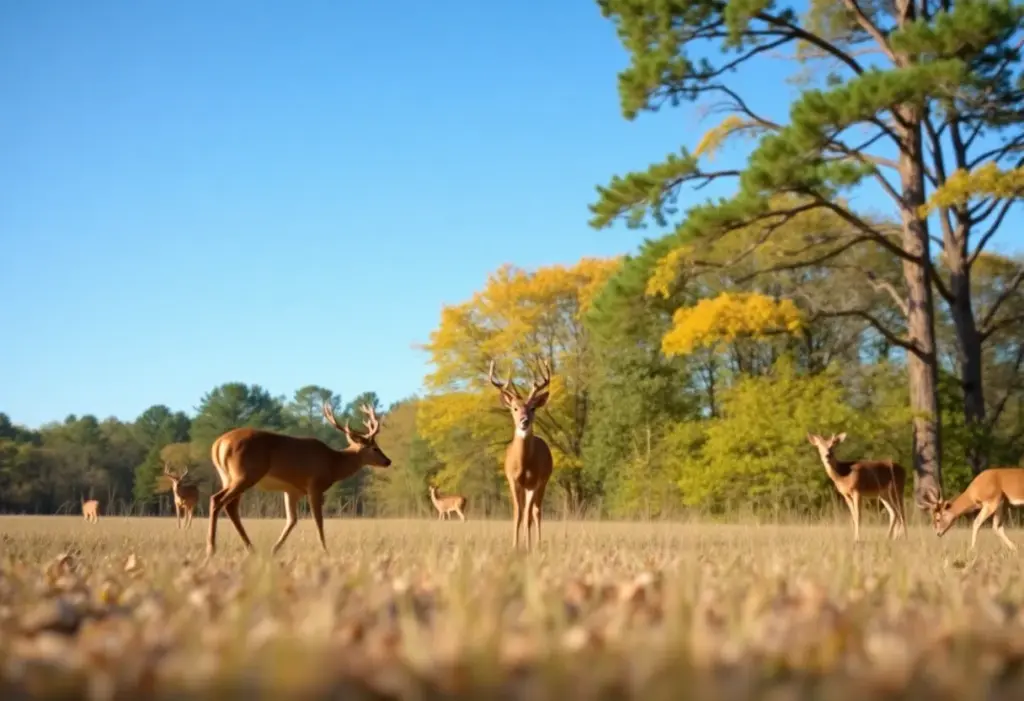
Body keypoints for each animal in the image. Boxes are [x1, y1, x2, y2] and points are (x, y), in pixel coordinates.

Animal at [205, 402, 391, 558]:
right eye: (374, 448)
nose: (388, 461)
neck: (333, 463)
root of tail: (218, 444)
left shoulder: (292, 491)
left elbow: (292, 520)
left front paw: (274, 549)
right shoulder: (315, 485)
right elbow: (318, 520)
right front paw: (325, 550)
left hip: (228, 476)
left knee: (229, 506)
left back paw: (250, 548)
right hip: (246, 474)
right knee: (218, 499)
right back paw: (212, 548)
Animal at [488, 358, 554, 551]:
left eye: (533, 408)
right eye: (515, 408)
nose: (524, 421)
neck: (524, 465)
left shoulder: (535, 482)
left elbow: (528, 516)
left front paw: (528, 546)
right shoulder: (513, 479)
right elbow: (518, 514)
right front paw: (515, 546)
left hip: (544, 481)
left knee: (536, 511)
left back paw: (537, 543)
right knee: (526, 510)